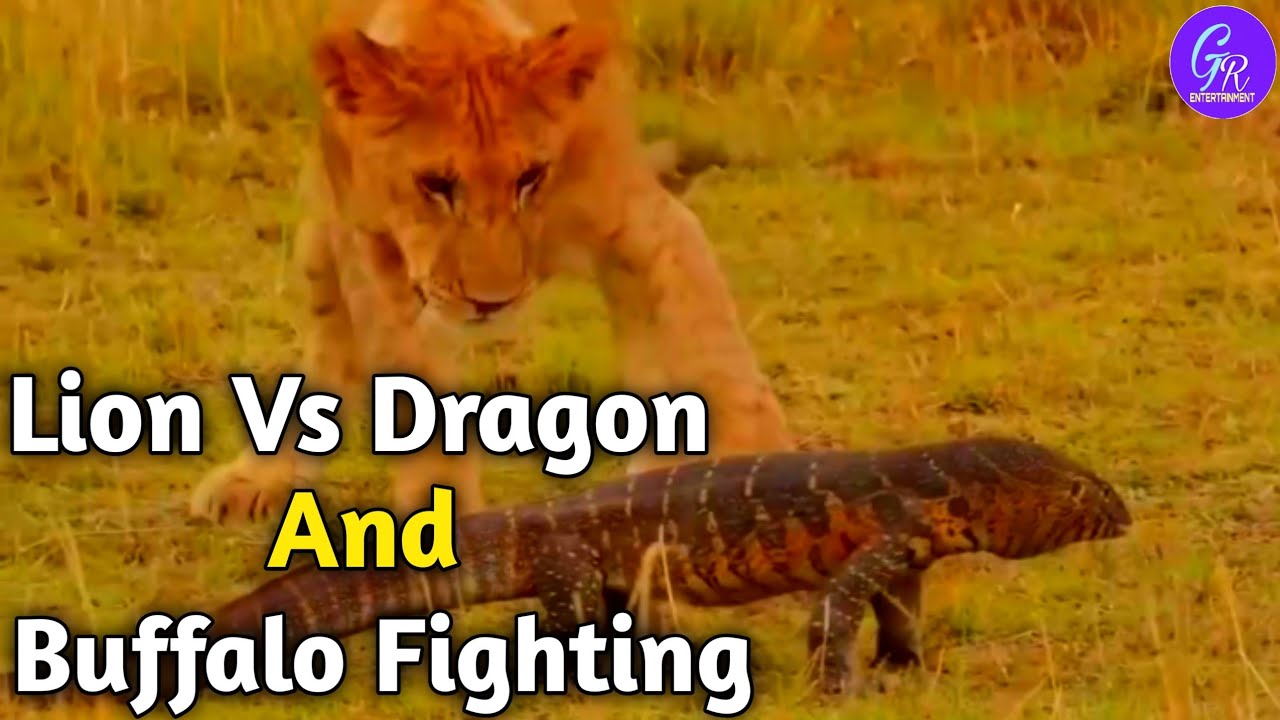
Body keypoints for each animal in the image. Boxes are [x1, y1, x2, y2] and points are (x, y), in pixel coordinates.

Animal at [188, 0, 793, 525]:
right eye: (435, 185)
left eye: (530, 177)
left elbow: (715, 344)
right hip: (321, 237)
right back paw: (257, 480)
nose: (491, 302)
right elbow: (409, 382)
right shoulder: (372, 251)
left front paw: (757, 466)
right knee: (326, 351)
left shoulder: (646, 223)